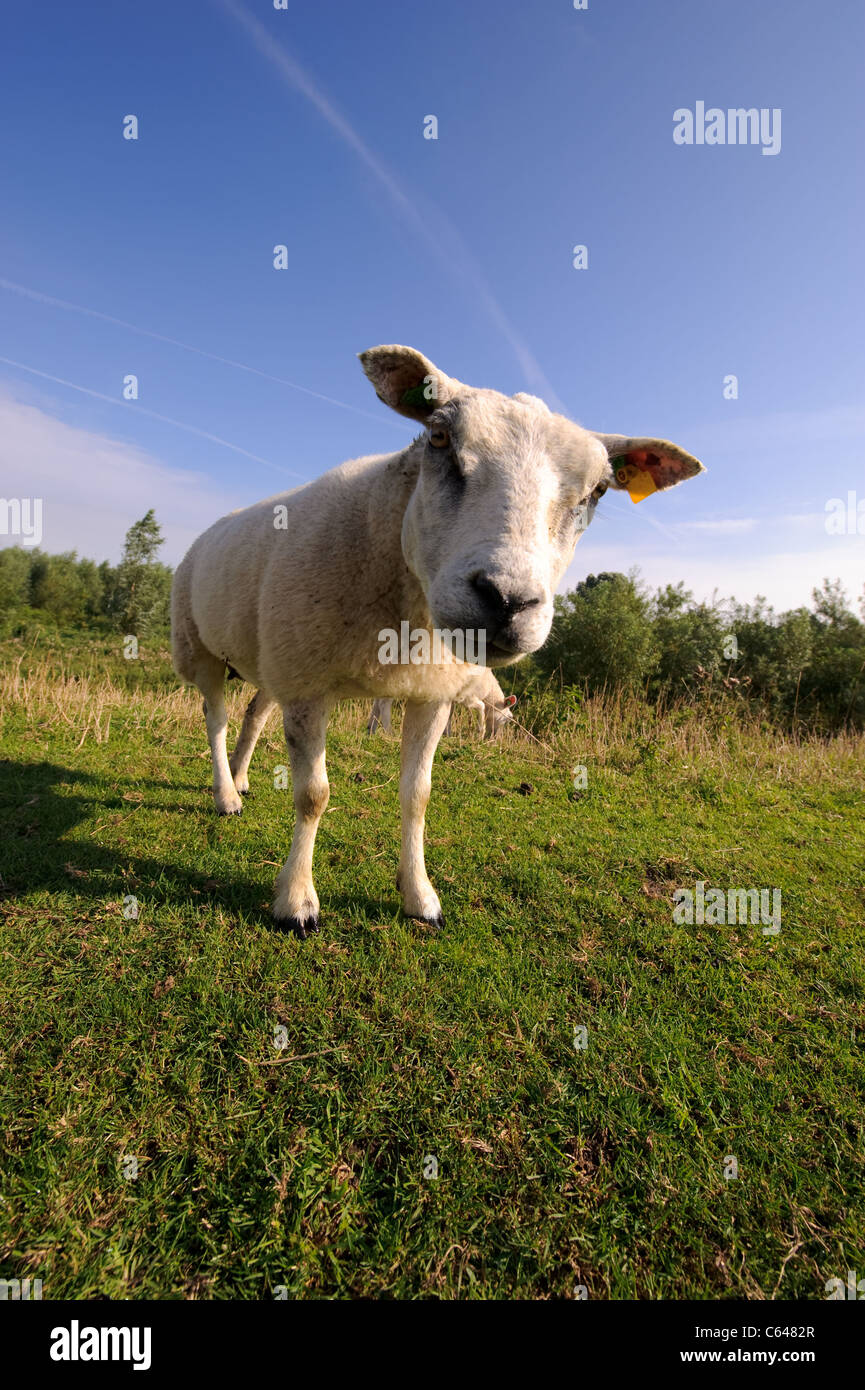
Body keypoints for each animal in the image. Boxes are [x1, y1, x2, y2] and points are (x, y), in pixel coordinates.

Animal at [171, 344, 704, 936]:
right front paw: (296, 901)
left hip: (274, 658)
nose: (506, 601)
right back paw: (224, 794)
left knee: (253, 715)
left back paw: (241, 780)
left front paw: (420, 896)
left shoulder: (430, 694)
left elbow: (418, 796)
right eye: (441, 439)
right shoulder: (309, 686)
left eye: (598, 490)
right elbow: (313, 795)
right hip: (201, 649)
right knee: (216, 718)